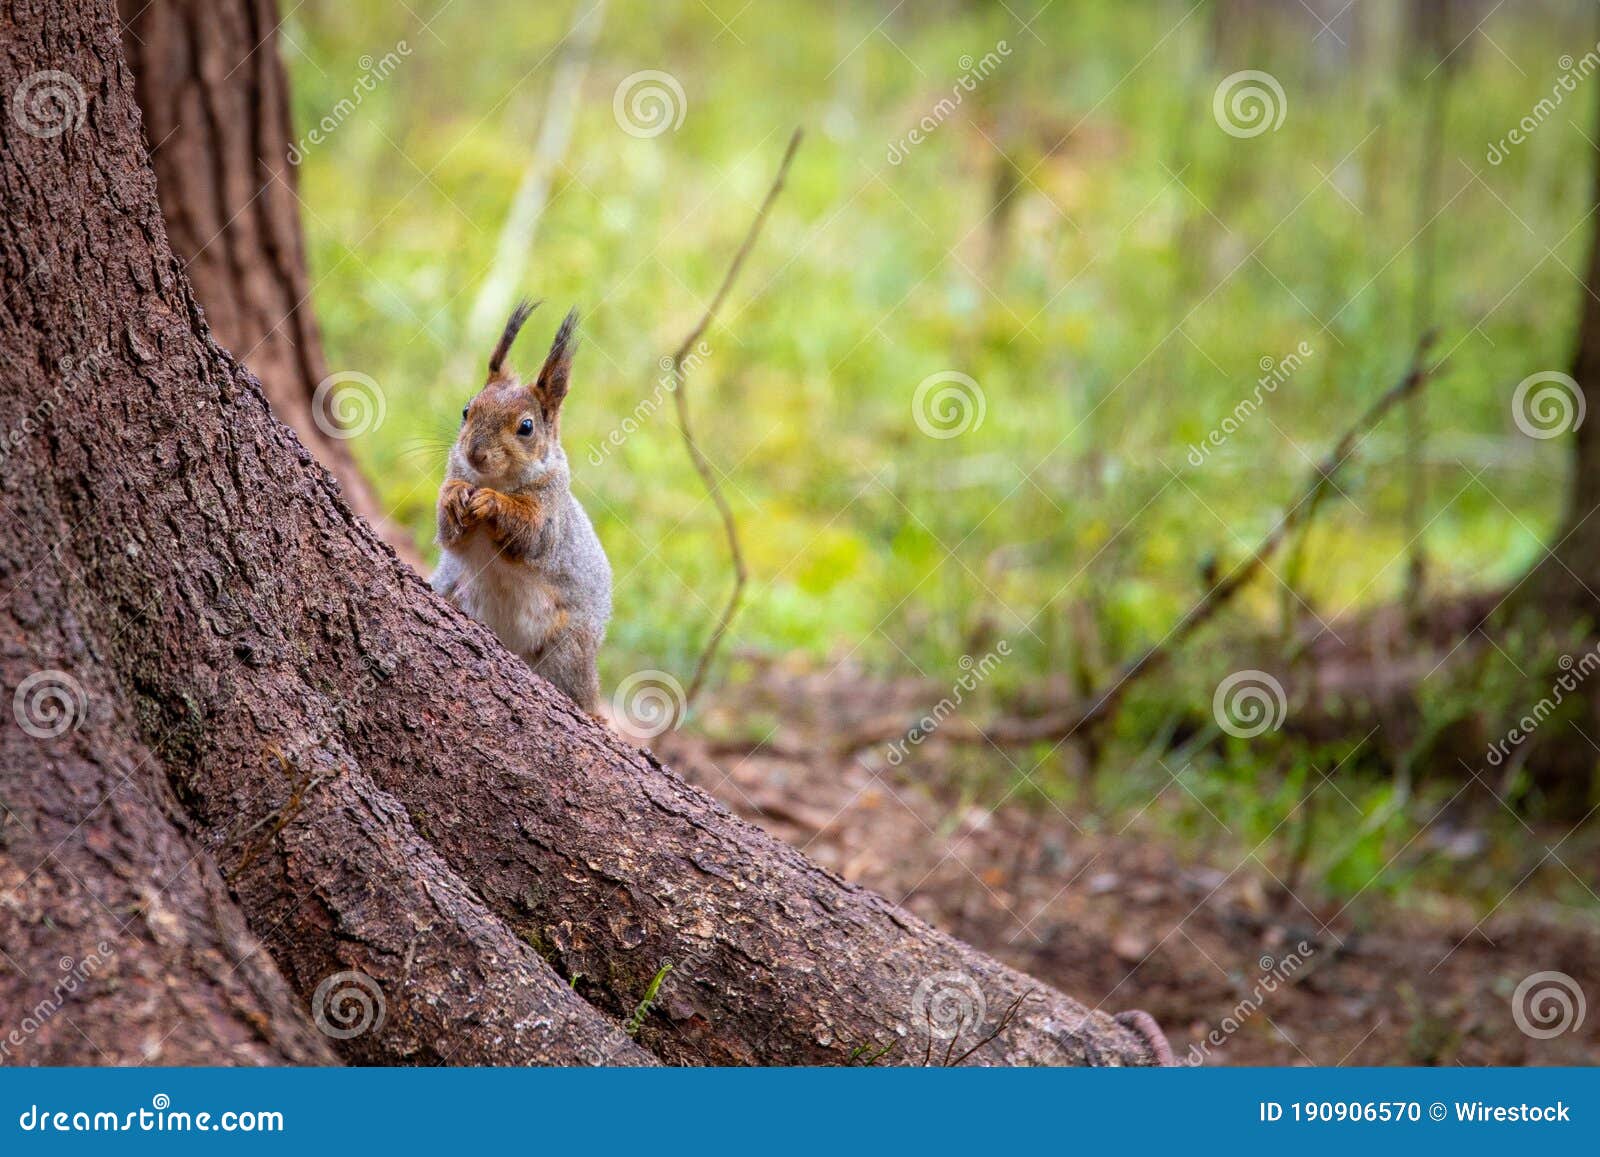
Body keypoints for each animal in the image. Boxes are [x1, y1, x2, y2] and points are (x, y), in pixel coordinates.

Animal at [431, 300, 612, 713]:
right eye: (466, 410)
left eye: (526, 427)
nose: (475, 453)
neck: (496, 480)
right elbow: (450, 536)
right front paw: (455, 497)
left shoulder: (550, 519)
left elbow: (529, 536)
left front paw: (492, 503)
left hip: (567, 648)